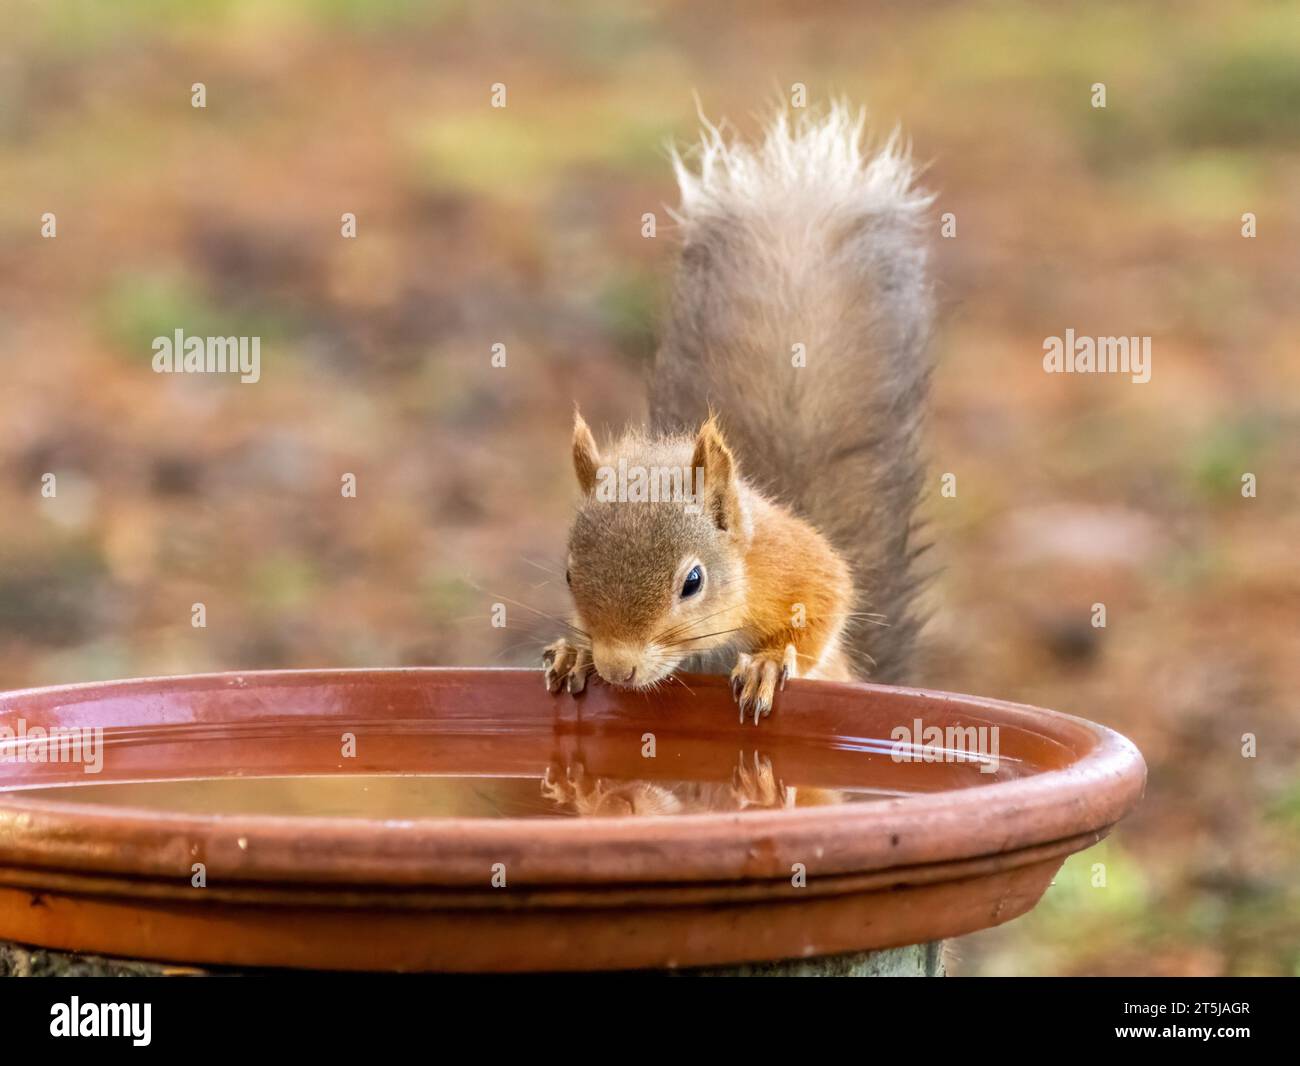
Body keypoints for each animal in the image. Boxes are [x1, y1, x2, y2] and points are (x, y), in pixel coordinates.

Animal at [543, 102, 933, 724]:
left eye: (693, 581)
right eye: (569, 573)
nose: (617, 670)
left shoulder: (790, 561)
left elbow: (828, 598)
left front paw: (770, 664)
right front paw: (574, 653)